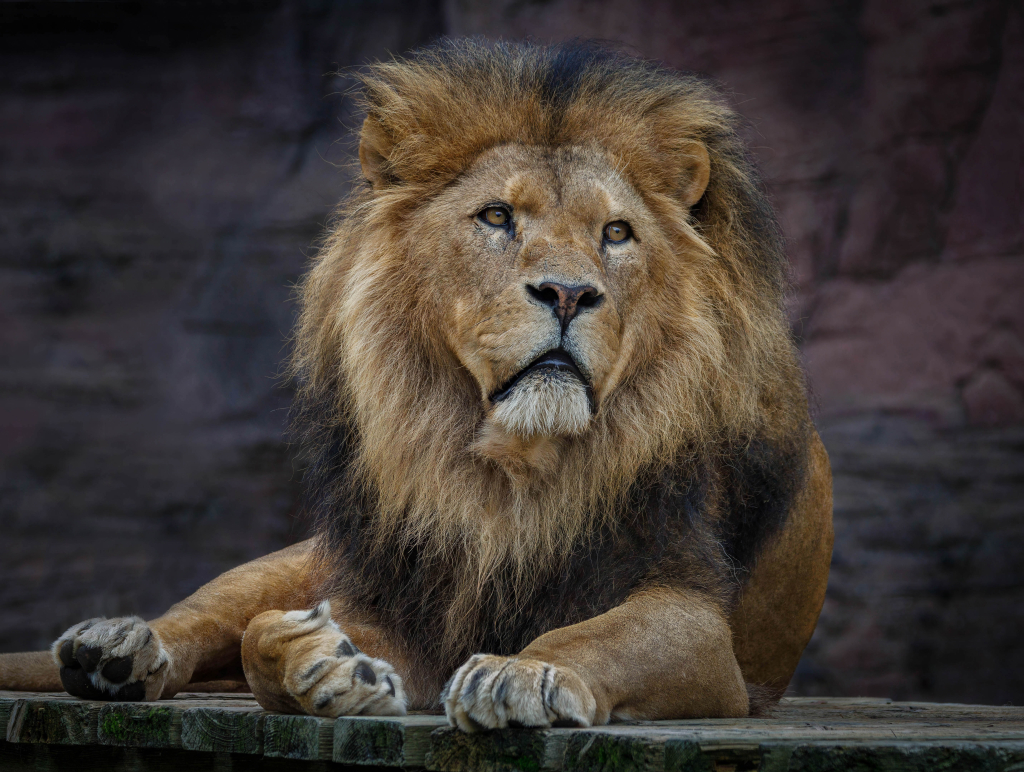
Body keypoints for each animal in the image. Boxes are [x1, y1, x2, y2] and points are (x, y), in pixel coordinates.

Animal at [0, 39, 832, 728]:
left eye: (617, 233)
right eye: (496, 217)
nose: (569, 293)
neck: (510, 465)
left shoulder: (694, 613)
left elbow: (593, 634)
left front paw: (520, 674)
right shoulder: (401, 600)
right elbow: (259, 639)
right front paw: (325, 665)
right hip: (304, 559)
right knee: (207, 619)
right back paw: (116, 646)